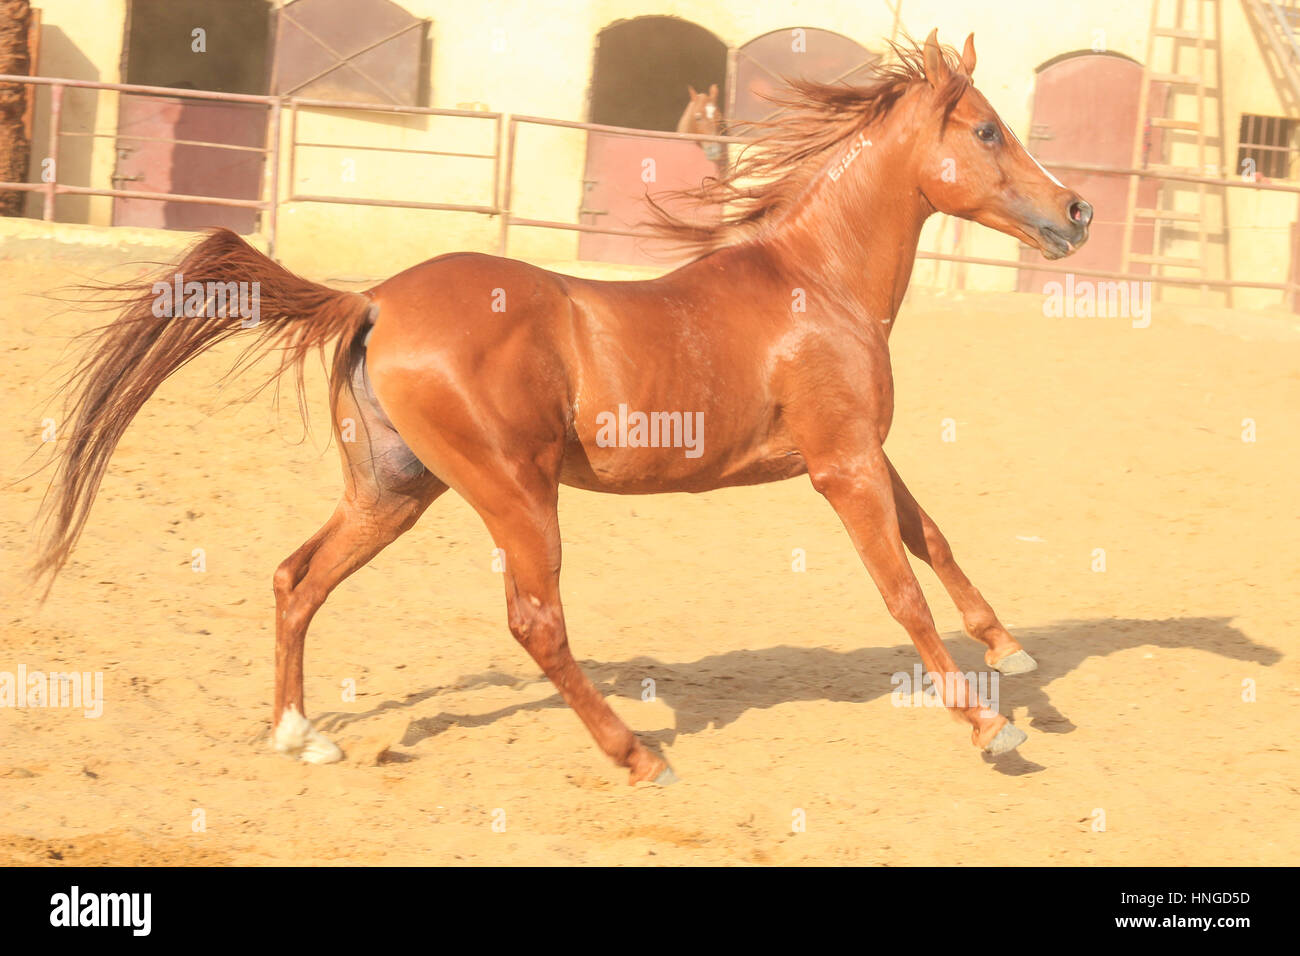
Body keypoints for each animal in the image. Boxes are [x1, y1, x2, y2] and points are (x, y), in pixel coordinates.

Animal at [33, 31, 1092, 785]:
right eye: (988, 130)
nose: (1077, 212)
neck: (813, 284)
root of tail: (374, 300)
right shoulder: (842, 467)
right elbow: (902, 589)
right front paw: (991, 728)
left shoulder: (863, 451)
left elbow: (935, 539)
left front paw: (1016, 657)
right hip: (513, 493)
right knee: (535, 623)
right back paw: (639, 757)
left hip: (394, 491)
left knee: (299, 578)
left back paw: (303, 735)